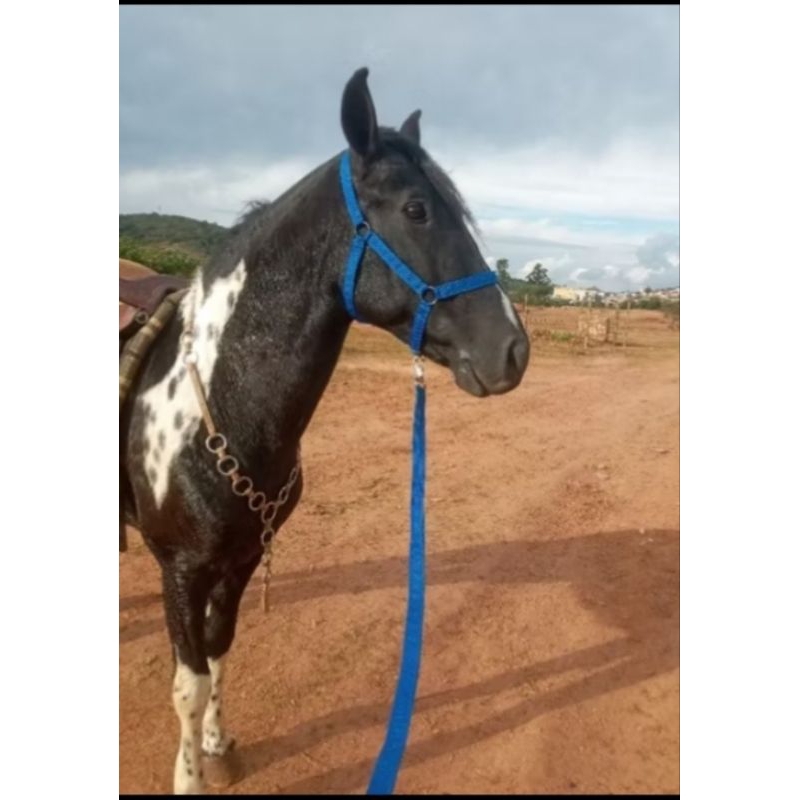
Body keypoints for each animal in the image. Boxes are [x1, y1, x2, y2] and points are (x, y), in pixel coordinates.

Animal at [120, 67, 530, 794]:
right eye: (417, 210)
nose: (513, 350)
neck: (217, 404)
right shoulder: (180, 568)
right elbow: (187, 685)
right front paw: (190, 773)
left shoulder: (239, 559)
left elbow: (220, 654)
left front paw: (220, 748)